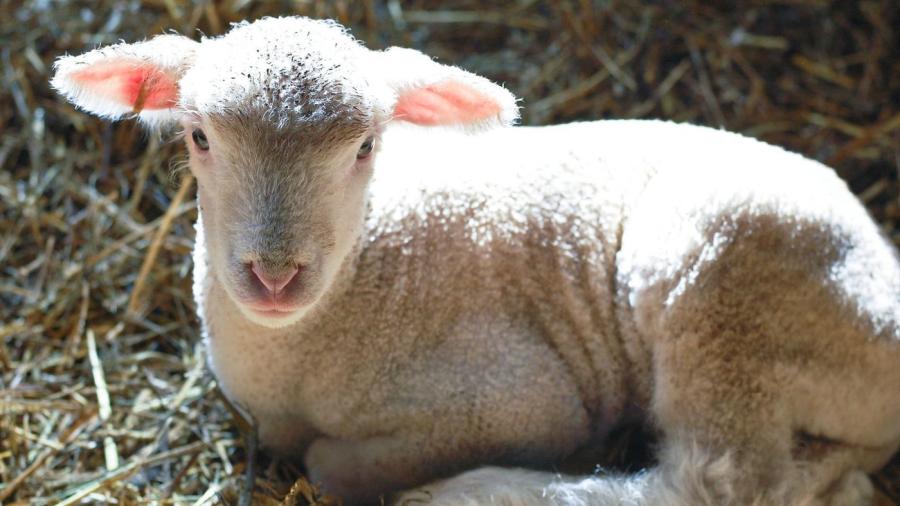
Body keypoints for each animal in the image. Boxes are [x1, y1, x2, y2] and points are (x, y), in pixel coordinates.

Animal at [51, 15, 900, 506]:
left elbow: (328, 465)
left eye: (367, 147)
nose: (274, 273)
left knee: (721, 478)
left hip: (720, 284)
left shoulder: (519, 397)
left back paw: (480, 491)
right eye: (199, 137)